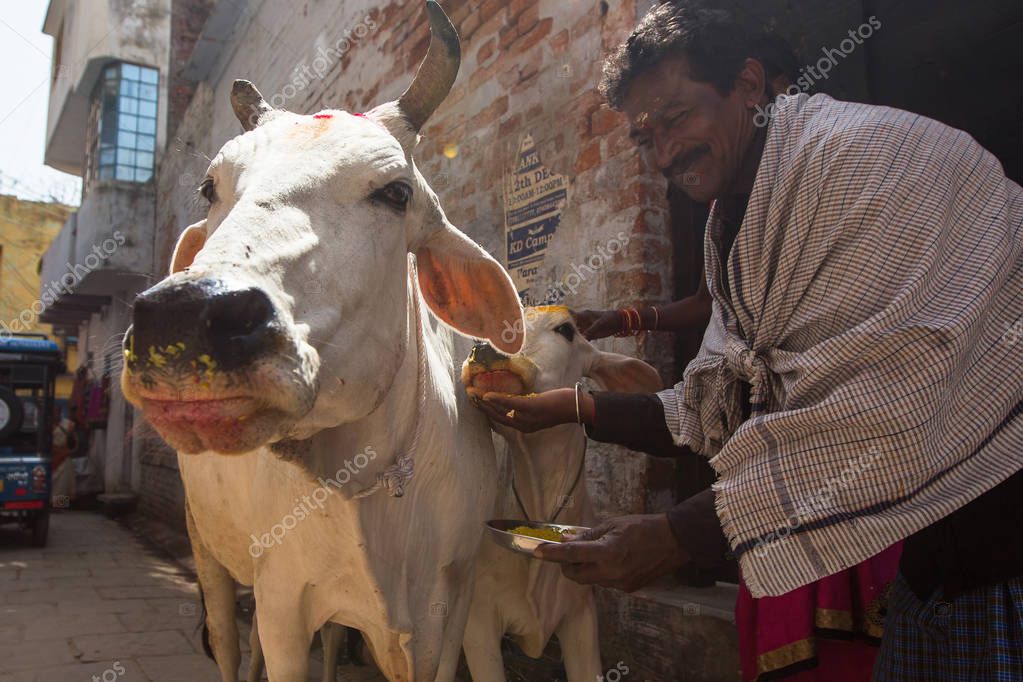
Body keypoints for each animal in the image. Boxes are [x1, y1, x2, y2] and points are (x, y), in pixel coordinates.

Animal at [120, 2, 524, 680]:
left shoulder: (452, 602)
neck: (371, 481)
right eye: (210, 188)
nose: (184, 319)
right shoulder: (283, 600)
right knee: (229, 642)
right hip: (205, 542)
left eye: (395, 192)